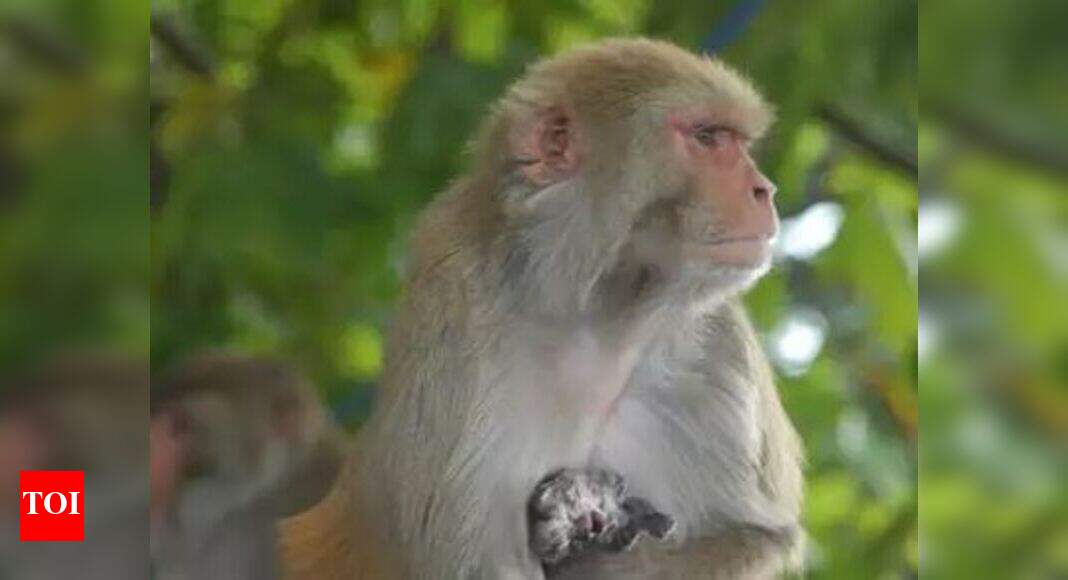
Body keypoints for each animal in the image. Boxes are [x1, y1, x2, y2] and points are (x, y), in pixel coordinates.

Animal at [281, 38, 803, 579]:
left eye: (737, 141)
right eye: (707, 137)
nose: (764, 190)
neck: (596, 318)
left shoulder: (714, 345)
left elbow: (749, 536)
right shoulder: (454, 319)